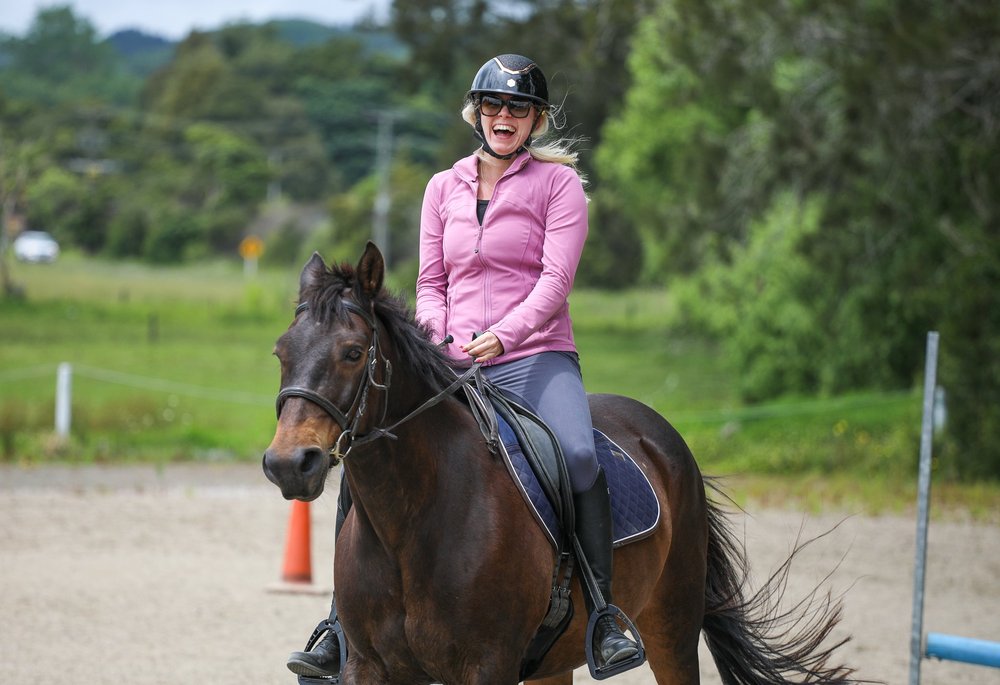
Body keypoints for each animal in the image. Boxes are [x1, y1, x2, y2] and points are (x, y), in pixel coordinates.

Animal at [263, 242, 864, 685]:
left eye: (353, 353)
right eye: (280, 352)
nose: (290, 464)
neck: (412, 521)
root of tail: (663, 436)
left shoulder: (487, 667)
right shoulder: (371, 667)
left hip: (672, 628)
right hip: (554, 662)